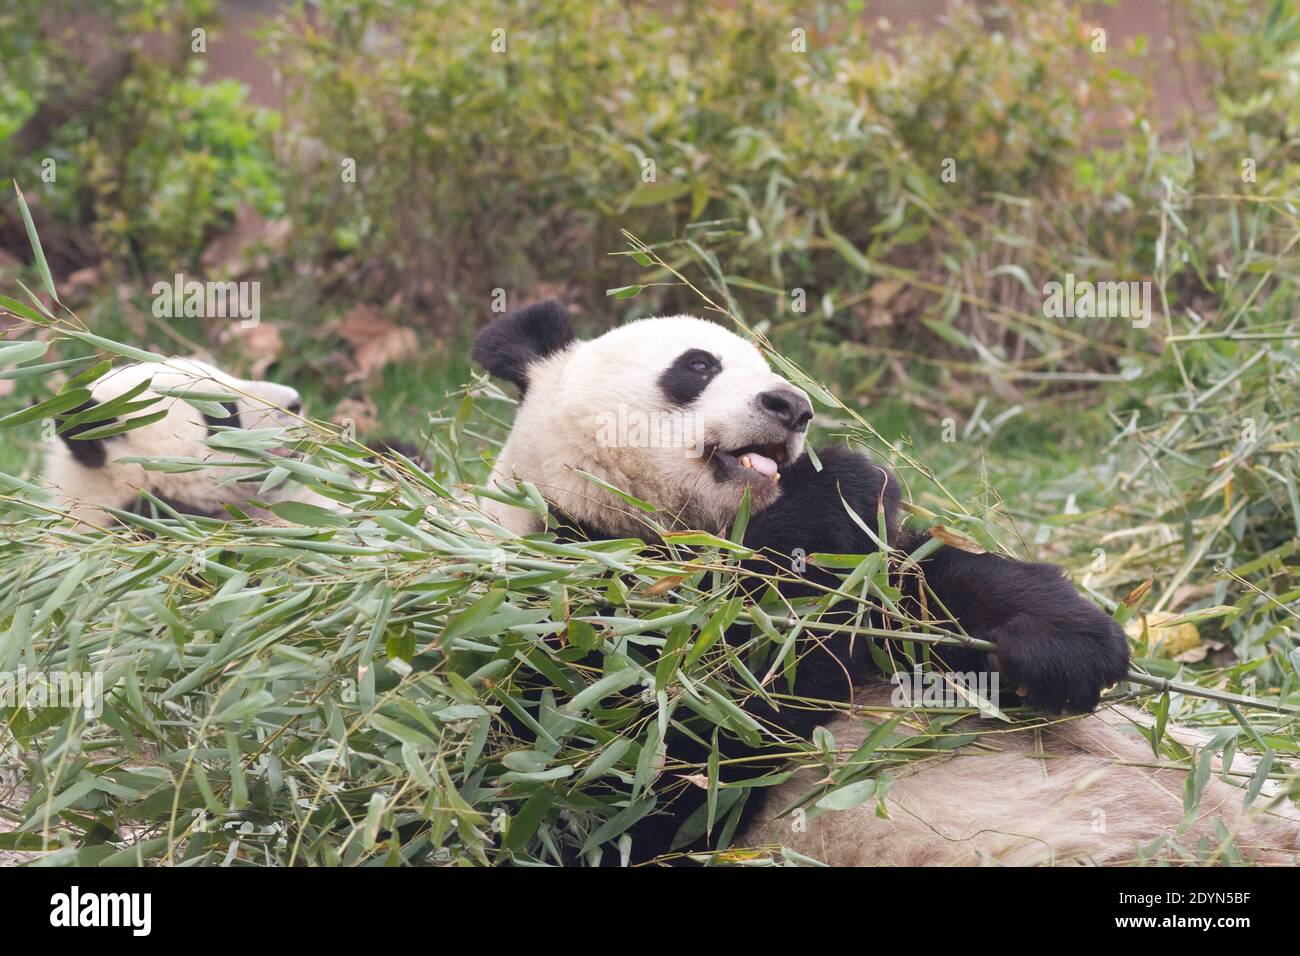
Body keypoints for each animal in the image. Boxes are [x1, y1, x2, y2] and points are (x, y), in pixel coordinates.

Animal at [473, 301, 1300, 865]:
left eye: (769, 365)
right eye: (698, 365)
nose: (792, 405)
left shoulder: (880, 583)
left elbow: (924, 591)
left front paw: (1068, 644)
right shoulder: (568, 621)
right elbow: (679, 759)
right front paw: (839, 485)